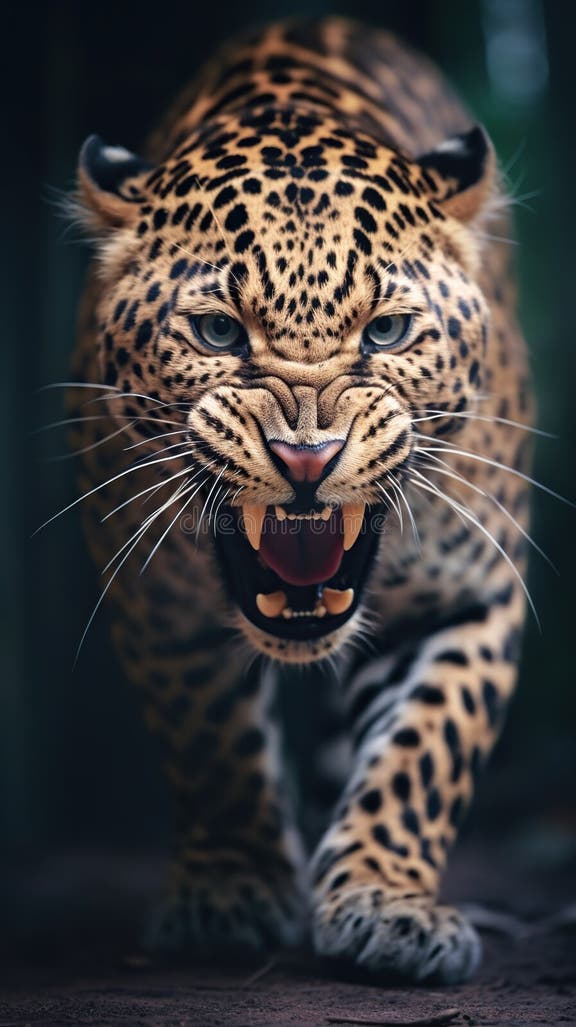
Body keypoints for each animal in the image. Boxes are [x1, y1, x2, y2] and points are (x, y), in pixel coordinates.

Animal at [64, 16, 533, 984]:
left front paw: (389, 903)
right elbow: (209, 740)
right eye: (216, 331)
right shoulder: (157, 605)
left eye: (386, 330)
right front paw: (230, 892)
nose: (306, 458)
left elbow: (426, 745)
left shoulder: (471, 591)